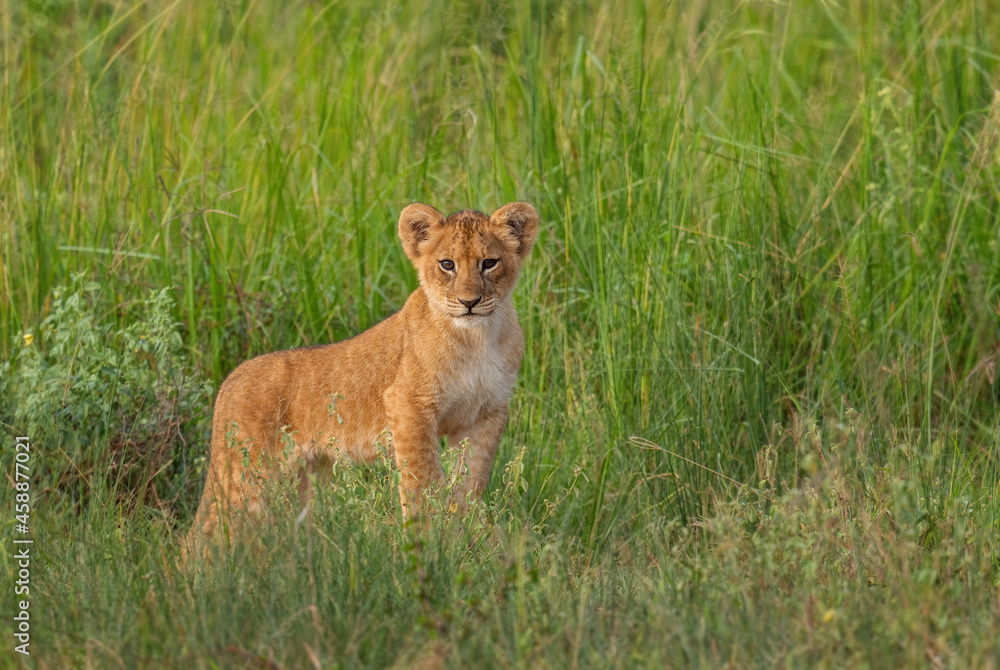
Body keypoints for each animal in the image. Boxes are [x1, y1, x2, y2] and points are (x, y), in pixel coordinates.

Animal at [185, 201, 538, 553]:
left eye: (489, 263)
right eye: (447, 264)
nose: (469, 302)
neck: (476, 338)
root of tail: (230, 379)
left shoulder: (485, 413)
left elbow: (470, 481)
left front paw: (472, 539)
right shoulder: (408, 404)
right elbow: (423, 480)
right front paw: (429, 543)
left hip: (305, 478)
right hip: (244, 477)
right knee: (204, 533)